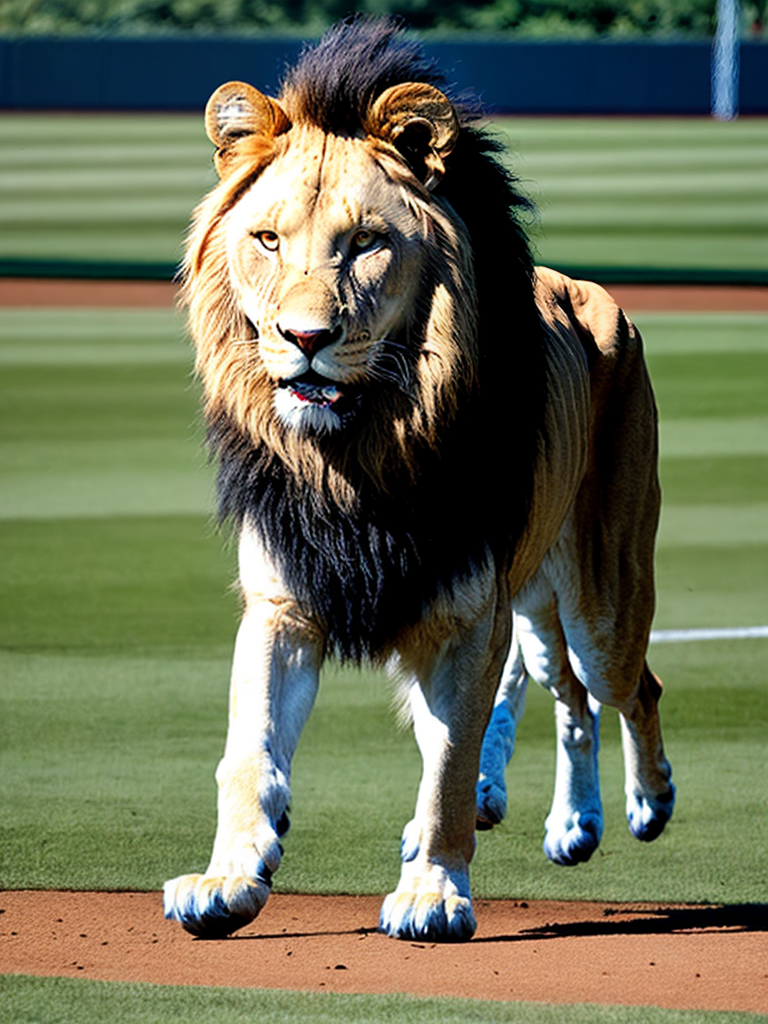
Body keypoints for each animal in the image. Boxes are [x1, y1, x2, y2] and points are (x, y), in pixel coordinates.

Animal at [163, 18, 675, 943]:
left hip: (601, 600)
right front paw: (229, 879)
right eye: (267, 241)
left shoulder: (468, 610)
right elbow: (247, 756)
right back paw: (564, 820)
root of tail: (582, 285)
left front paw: (433, 893)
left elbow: (444, 769)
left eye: (367, 242)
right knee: (564, 695)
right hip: (532, 596)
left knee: (624, 686)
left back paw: (645, 804)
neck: (357, 455)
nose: (304, 338)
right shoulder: (282, 605)